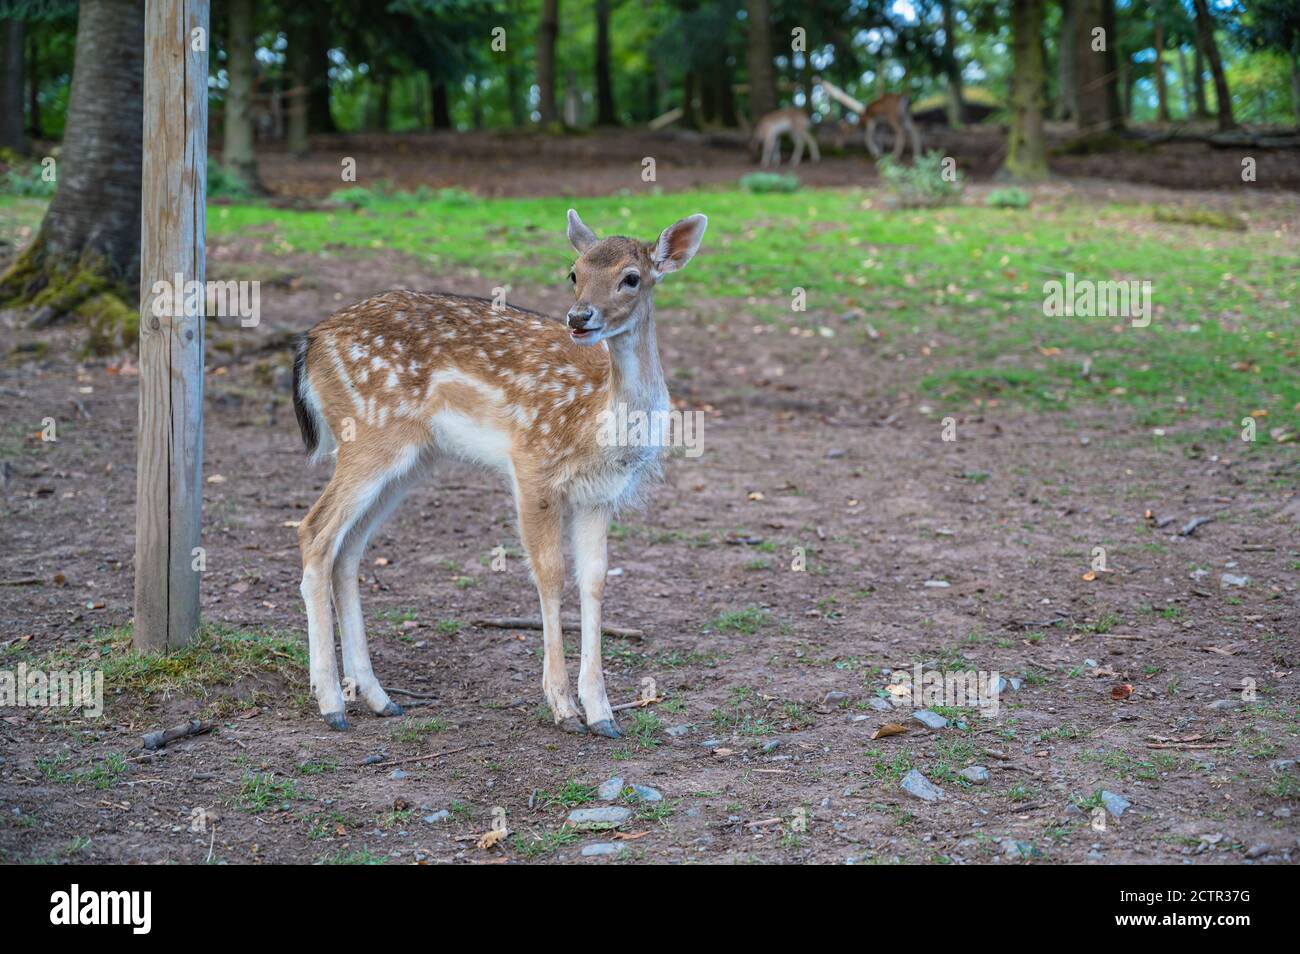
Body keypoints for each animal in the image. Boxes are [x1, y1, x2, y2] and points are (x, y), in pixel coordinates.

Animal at [290, 210, 708, 738]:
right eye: (573, 273)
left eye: (631, 278)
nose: (579, 318)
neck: (599, 421)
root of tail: (311, 342)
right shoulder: (531, 464)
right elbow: (550, 574)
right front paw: (563, 707)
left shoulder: (599, 494)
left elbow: (594, 580)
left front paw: (603, 714)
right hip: (368, 435)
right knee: (315, 530)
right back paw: (330, 702)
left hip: (412, 460)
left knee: (348, 549)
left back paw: (378, 697)